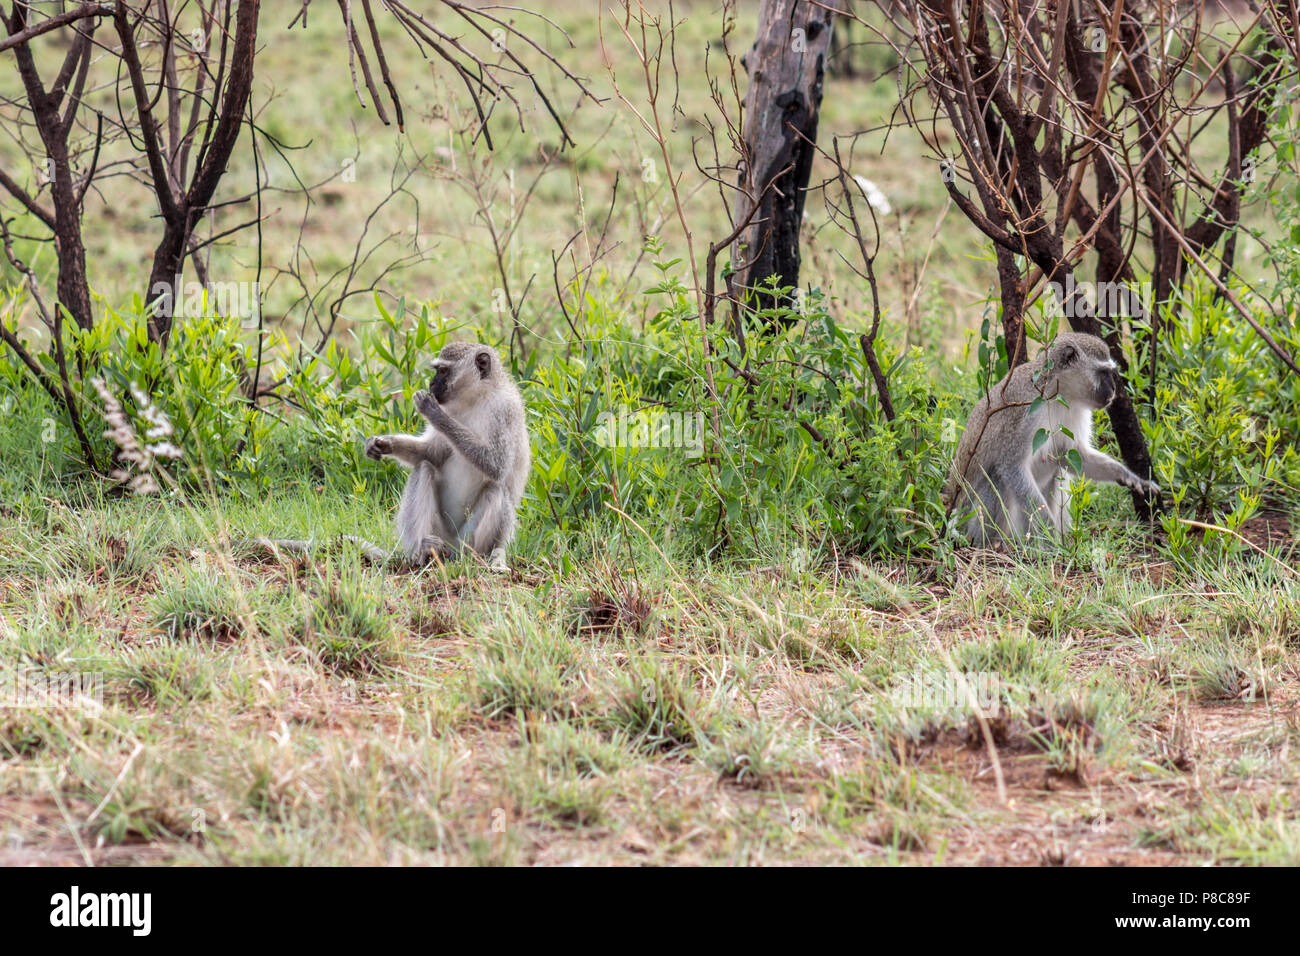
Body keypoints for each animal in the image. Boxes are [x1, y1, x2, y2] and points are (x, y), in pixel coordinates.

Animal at [364, 341, 530, 569]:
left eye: (443, 371)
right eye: (437, 371)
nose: (432, 383)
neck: (477, 397)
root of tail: (449, 545)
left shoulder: (504, 410)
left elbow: (496, 465)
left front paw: (434, 413)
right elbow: (431, 453)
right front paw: (383, 444)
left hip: (466, 540)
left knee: (496, 489)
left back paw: (471, 557)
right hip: (438, 530)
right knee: (423, 468)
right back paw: (421, 551)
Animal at [943, 332, 1159, 545]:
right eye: (1103, 373)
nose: (1114, 389)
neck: (1058, 393)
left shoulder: (1077, 411)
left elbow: (1073, 455)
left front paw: (1130, 477)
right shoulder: (1026, 410)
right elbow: (1012, 465)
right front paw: (1049, 529)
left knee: (1056, 468)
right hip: (973, 521)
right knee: (996, 476)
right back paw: (998, 544)